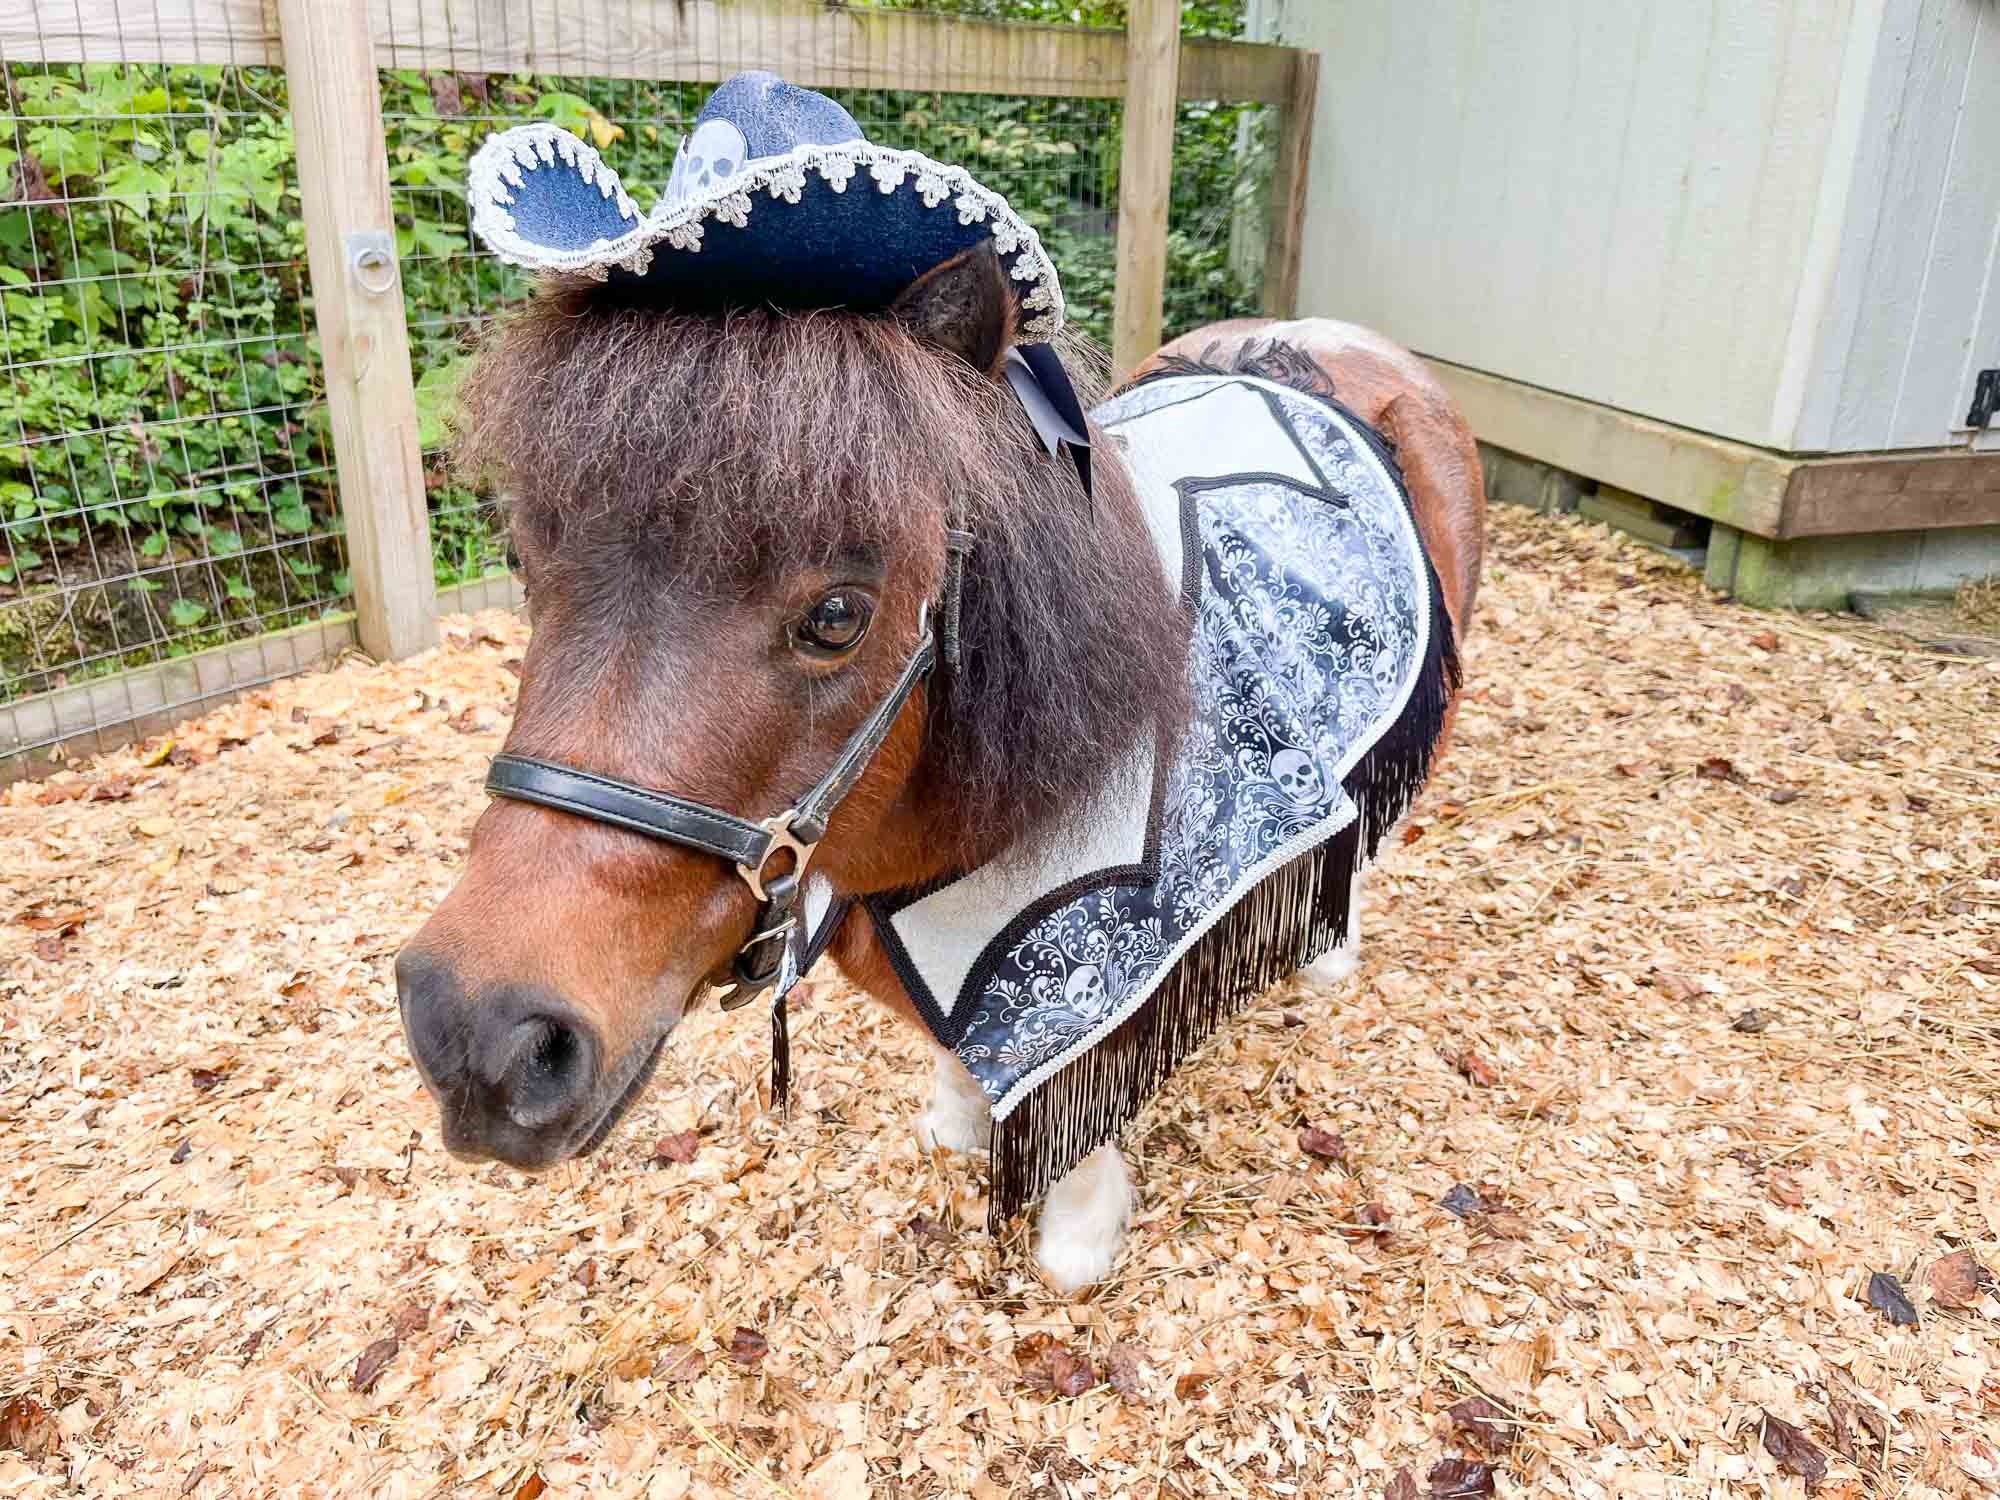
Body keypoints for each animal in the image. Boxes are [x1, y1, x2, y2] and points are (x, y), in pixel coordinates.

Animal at [395, 246, 1485, 1292]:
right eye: (524, 562)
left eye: (838, 615)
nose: (476, 1035)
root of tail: (1312, 339)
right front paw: (959, 1116)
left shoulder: (1095, 986)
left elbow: (1078, 1102)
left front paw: (1079, 1236)